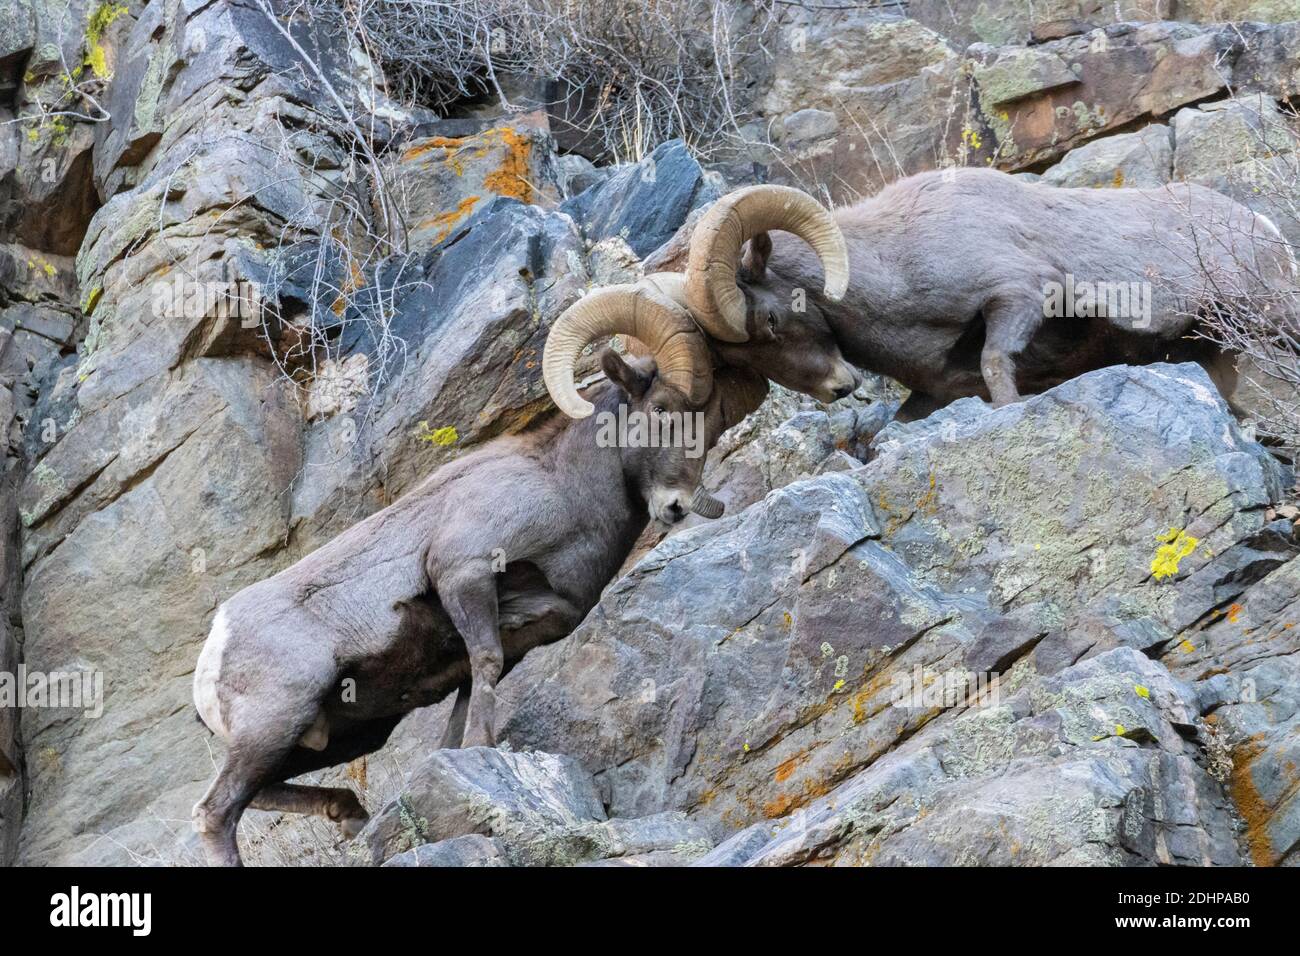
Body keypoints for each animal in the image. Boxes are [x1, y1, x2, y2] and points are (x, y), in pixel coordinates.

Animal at [190, 279, 768, 866]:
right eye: (663, 409)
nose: (676, 506)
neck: (563, 490)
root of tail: (216, 644)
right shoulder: (463, 574)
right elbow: (483, 662)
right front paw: (483, 752)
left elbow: (464, 704)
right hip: (275, 724)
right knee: (216, 812)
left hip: (330, 737)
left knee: (258, 794)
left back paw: (350, 814)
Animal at [677, 168, 1297, 421]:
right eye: (739, 356)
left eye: (771, 321)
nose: (839, 389)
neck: (897, 266)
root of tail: (1261, 227)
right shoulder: (931, 396)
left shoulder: (1018, 296)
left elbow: (999, 367)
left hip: (1272, 320)